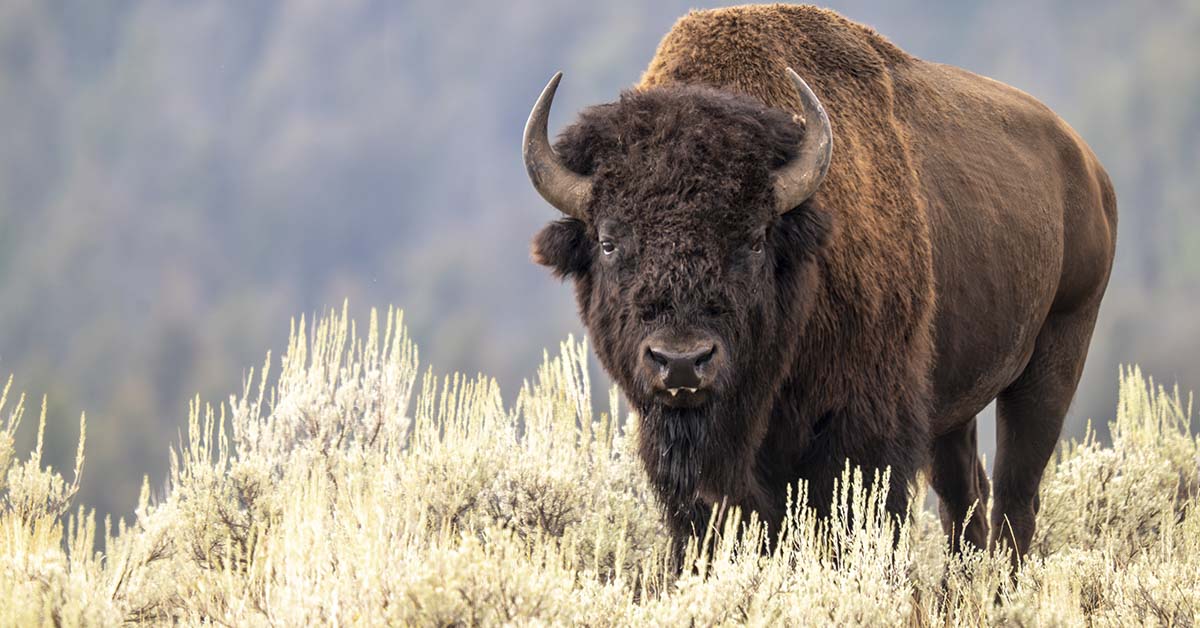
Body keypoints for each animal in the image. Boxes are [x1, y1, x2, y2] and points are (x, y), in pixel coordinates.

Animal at [523, 5, 1116, 566]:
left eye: (754, 239)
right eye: (608, 241)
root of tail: (1088, 168)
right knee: (964, 498)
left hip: (1055, 357)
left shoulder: (863, 431)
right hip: (955, 403)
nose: (682, 362)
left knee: (1016, 499)